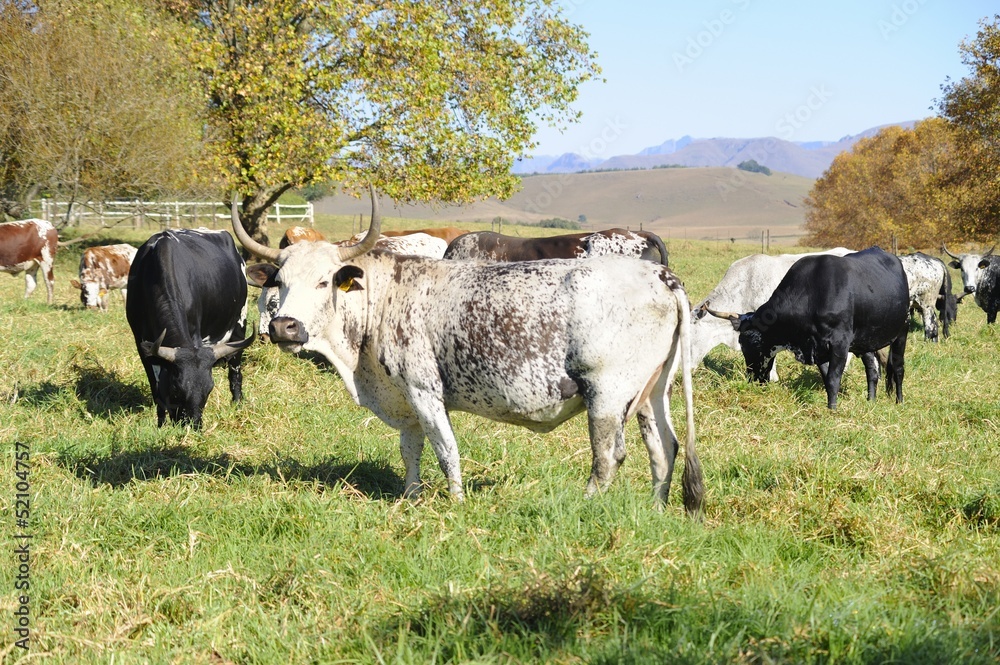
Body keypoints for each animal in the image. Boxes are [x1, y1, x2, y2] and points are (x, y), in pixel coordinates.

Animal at [126, 228, 253, 429]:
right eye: (176, 389)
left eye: (209, 389)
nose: (193, 426)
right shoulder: (141, 342)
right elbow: (155, 387)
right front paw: (160, 424)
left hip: (240, 324)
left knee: (235, 370)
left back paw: (237, 403)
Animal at [235, 188, 703, 514]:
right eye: (279, 282)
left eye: (324, 281)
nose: (284, 327)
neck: (382, 299)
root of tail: (659, 275)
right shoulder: (405, 400)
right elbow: (411, 452)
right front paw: (411, 498)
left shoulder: (425, 392)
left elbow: (446, 451)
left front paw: (456, 504)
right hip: (653, 392)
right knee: (664, 448)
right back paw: (655, 510)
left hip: (607, 396)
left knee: (608, 457)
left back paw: (585, 505)